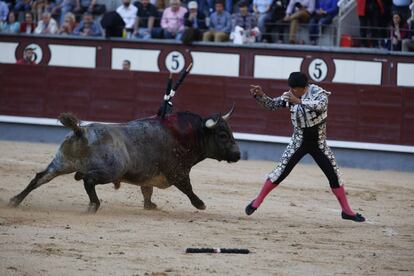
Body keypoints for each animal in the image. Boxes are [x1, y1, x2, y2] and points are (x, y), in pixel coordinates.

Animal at [8, 106, 241, 212]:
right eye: (222, 134)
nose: (238, 155)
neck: (186, 135)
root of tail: (80, 131)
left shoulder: (149, 175)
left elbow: (147, 190)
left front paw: (150, 205)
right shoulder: (178, 172)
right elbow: (187, 188)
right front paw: (200, 204)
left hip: (61, 163)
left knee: (40, 177)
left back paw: (15, 200)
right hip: (110, 171)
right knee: (88, 180)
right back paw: (94, 205)